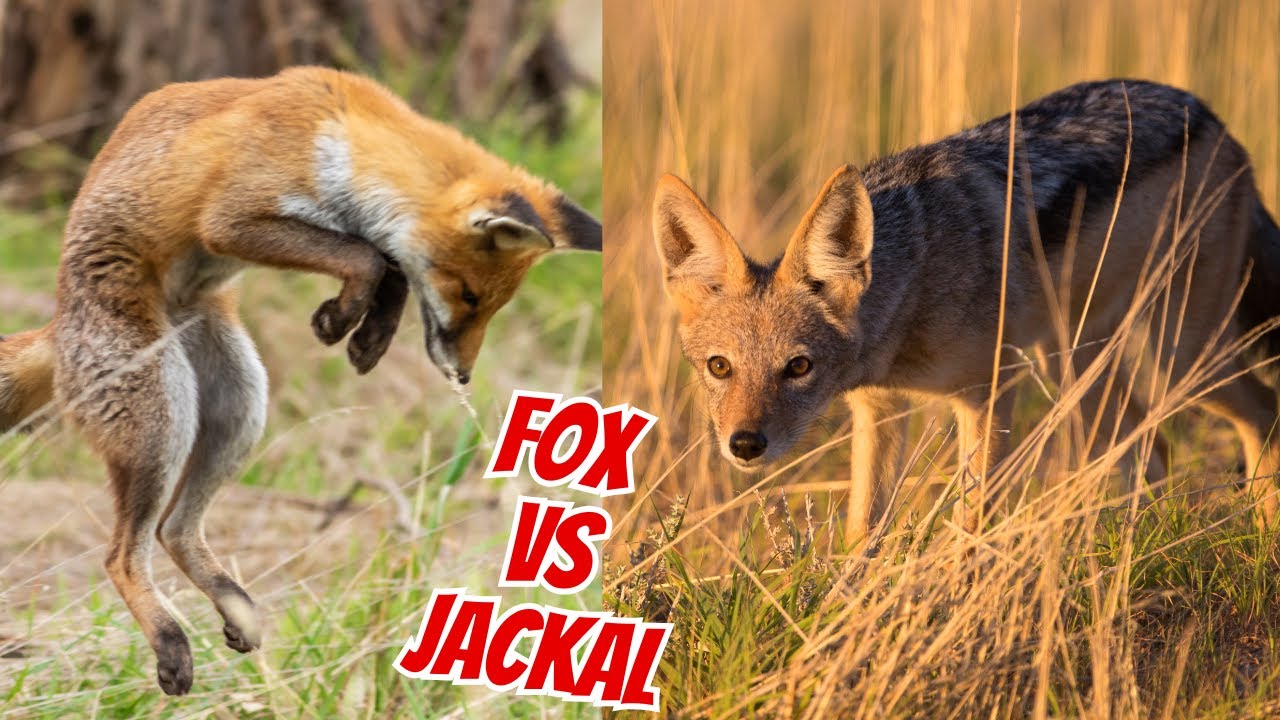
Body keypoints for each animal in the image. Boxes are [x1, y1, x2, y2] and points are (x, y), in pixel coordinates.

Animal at [0, 66, 600, 695]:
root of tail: (58, 325)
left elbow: (386, 264)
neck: (341, 138)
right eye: (469, 296)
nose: (461, 373)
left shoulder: (350, 238)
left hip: (241, 406)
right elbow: (367, 257)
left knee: (174, 531)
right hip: (163, 414)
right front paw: (345, 320)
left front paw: (365, 335)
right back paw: (169, 642)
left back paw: (234, 609)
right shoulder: (233, 218)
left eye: (491, 307)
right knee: (121, 554)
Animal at [653, 79, 1280, 544]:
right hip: (1074, 369)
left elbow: (971, 525)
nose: (744, 445)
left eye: (798, 368)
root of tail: (1206, 110)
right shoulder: (879, 410)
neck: (917, 280)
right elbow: (862, 533)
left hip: (1180, 362)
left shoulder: (989, 392)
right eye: (719, 368)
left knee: (1262, 415)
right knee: (1155, 451)